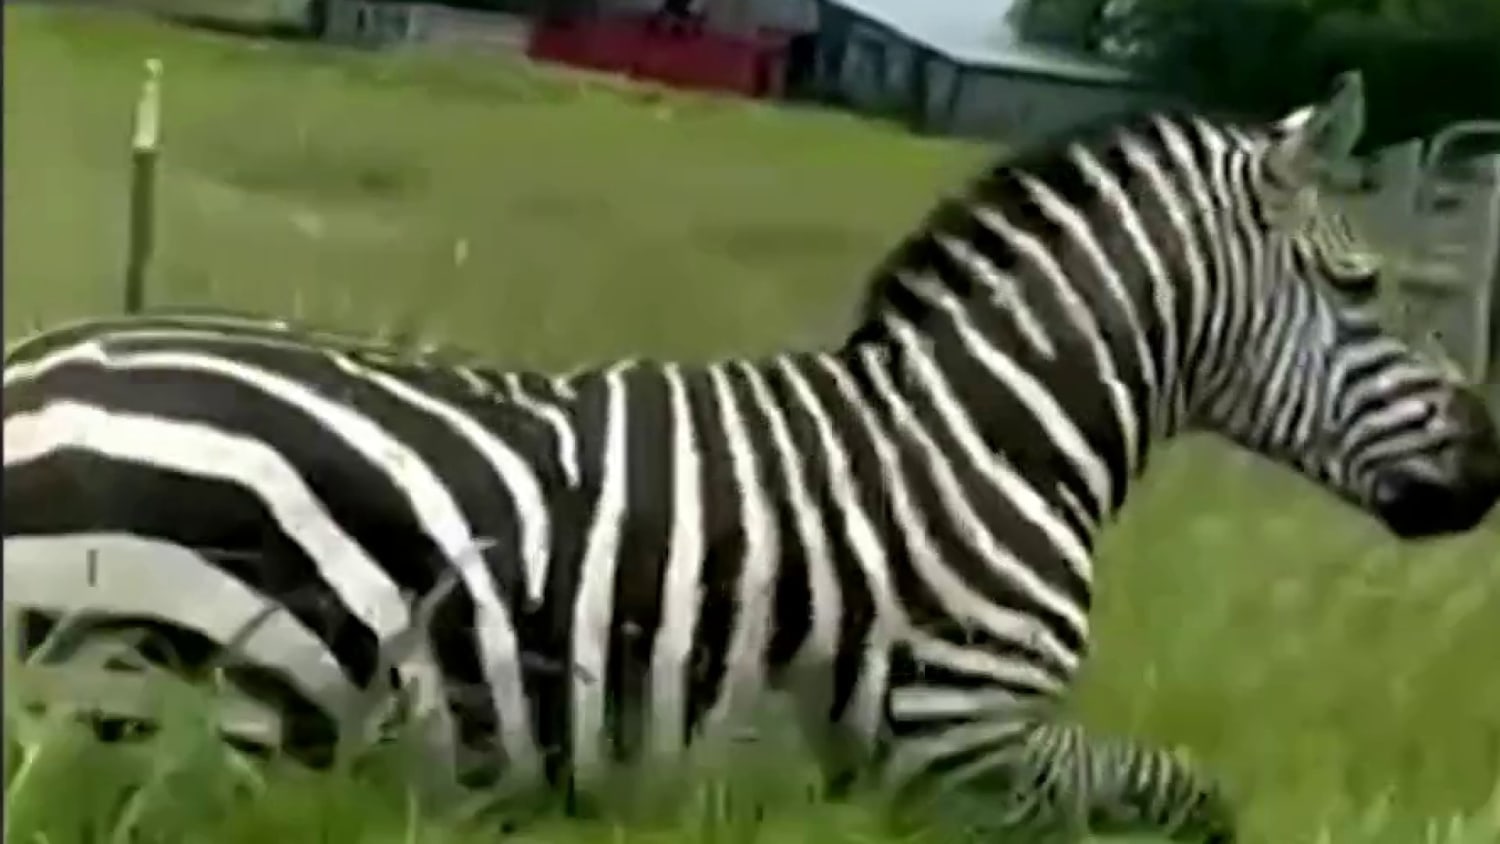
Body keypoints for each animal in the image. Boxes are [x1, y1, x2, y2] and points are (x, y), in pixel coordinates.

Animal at [6, 71, 1500, 842]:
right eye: (1365, 288)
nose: (1490, 470)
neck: (994, 436)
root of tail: (39, 369)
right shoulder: (963, 732)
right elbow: (1193, 799)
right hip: (139, 697)